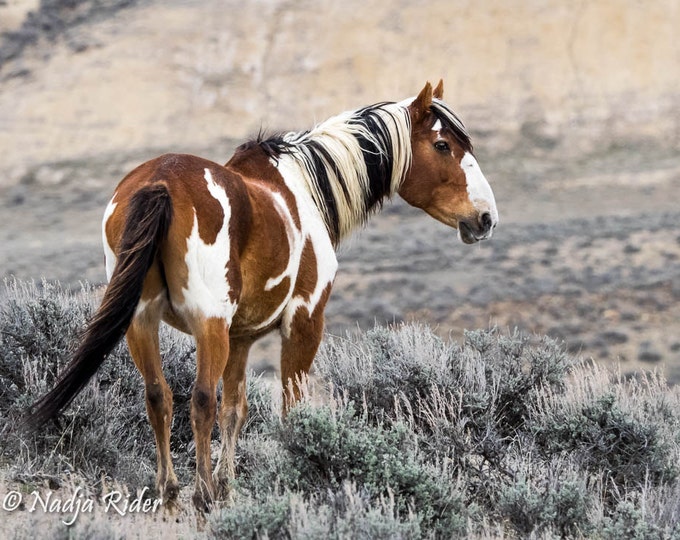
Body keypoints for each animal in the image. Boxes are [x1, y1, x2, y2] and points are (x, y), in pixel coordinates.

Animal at [26, 80, 498, 511]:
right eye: (442, 144)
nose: (486, 217)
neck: (306, 190)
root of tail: (160, 182)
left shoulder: (241, 338)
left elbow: (236, 410)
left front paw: (230, 486)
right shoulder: (304, 321)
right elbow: (288, 411)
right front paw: (286, 478)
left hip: (142, 322)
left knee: (159, 396)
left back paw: (171, 493)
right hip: (208, 326)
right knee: (200, 400)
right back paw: (201, 495)